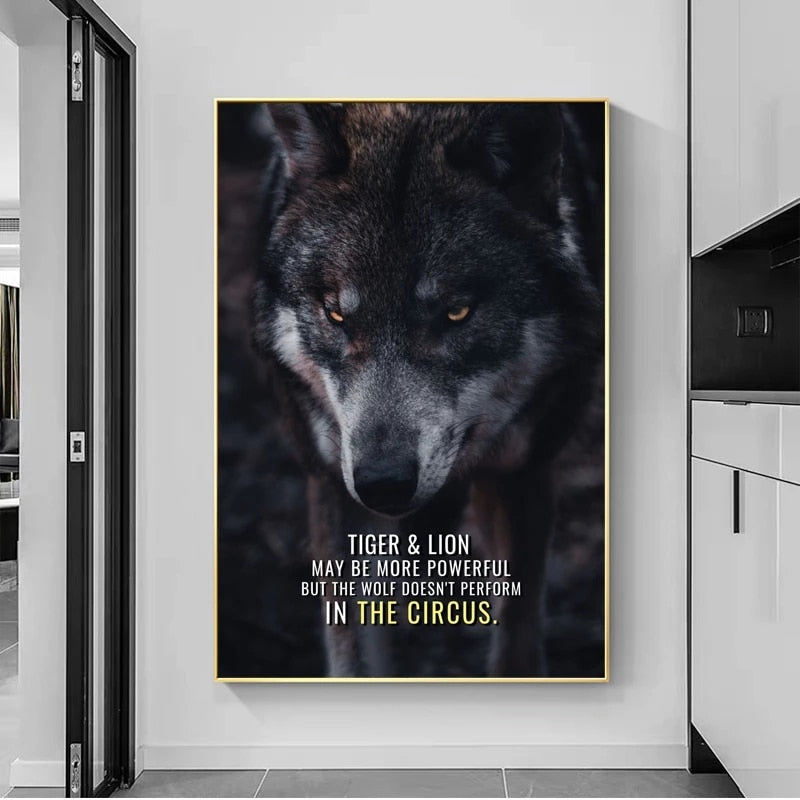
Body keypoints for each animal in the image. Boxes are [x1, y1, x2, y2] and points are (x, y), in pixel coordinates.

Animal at [221, 101, 604, 677]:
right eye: (336, 315)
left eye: (456, 312)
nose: (382, 483)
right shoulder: (332, 481)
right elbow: (353, 657)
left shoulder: (524, 470)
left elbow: (516, 647)